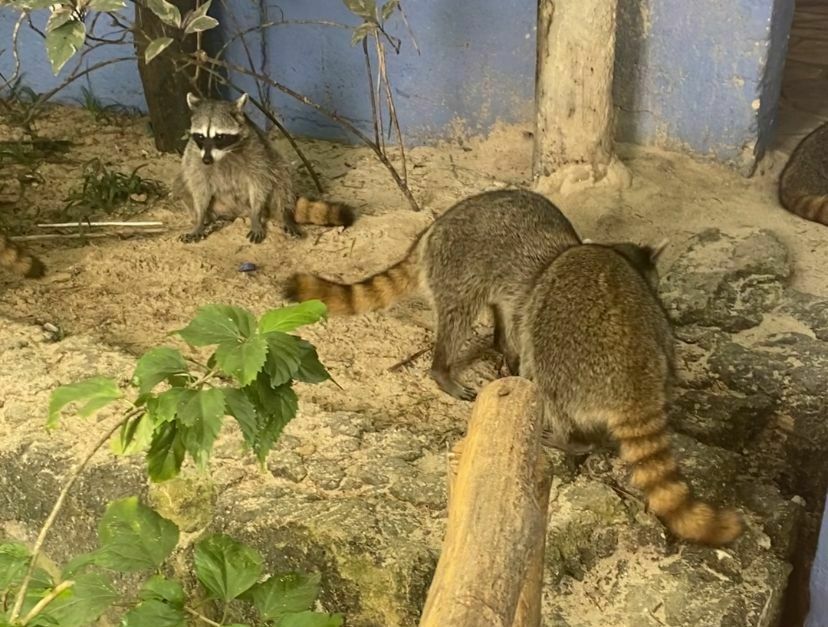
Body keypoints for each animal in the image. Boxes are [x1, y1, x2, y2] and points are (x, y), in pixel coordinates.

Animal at [177, 93, 355, 244]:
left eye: (219, 137)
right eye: (200, 136)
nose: (207, 160)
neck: (225, 153)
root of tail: (239, 212)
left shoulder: (257, 152)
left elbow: (260, 183)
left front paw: (256, 216)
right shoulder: (195, 158)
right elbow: (199, 187)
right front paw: (199, 220)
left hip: (274, 169)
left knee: (282, 177)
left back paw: (284, 214)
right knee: (182, 185)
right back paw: (213, 218)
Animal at [517, 242, 743, 545]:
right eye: (655, 282)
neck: (614, 250)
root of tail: (634, 384)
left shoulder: (536, 303)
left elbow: (524, 354)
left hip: (565, 368)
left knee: (550, 393)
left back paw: (567, 439)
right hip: (660, 355)